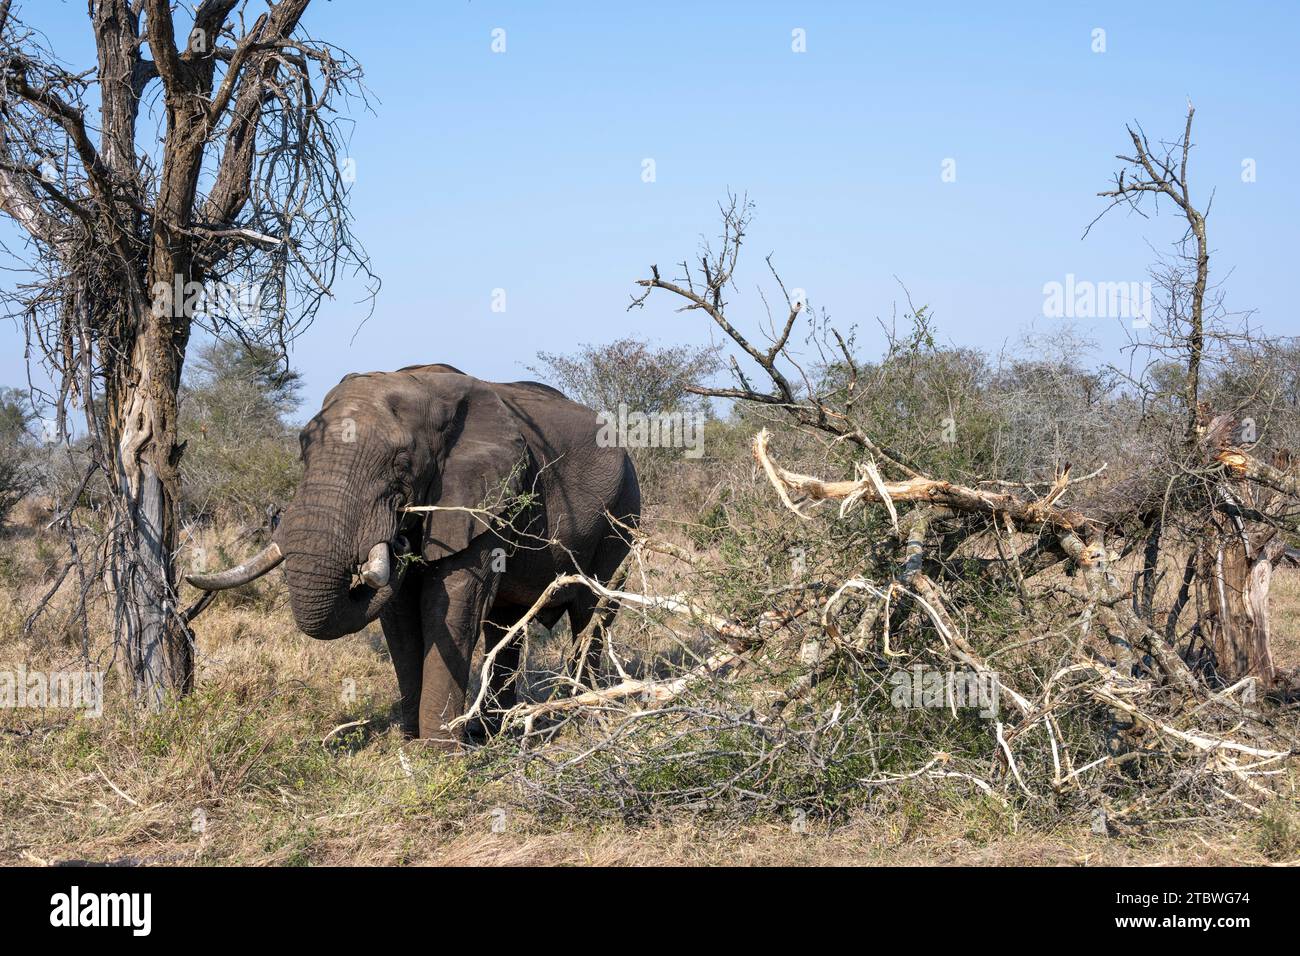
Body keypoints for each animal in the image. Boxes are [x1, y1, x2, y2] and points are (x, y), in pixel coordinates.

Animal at [187, 363, 640, 747]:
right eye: (303, 451)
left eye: (401, 465)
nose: (401, 540)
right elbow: (401, 620)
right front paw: (409, 742)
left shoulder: (483, 497)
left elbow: (452, 608)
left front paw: (438, 754)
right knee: (505, 624)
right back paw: (490, 731)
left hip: (622, 513)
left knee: (591, 612)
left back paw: (582, 717)